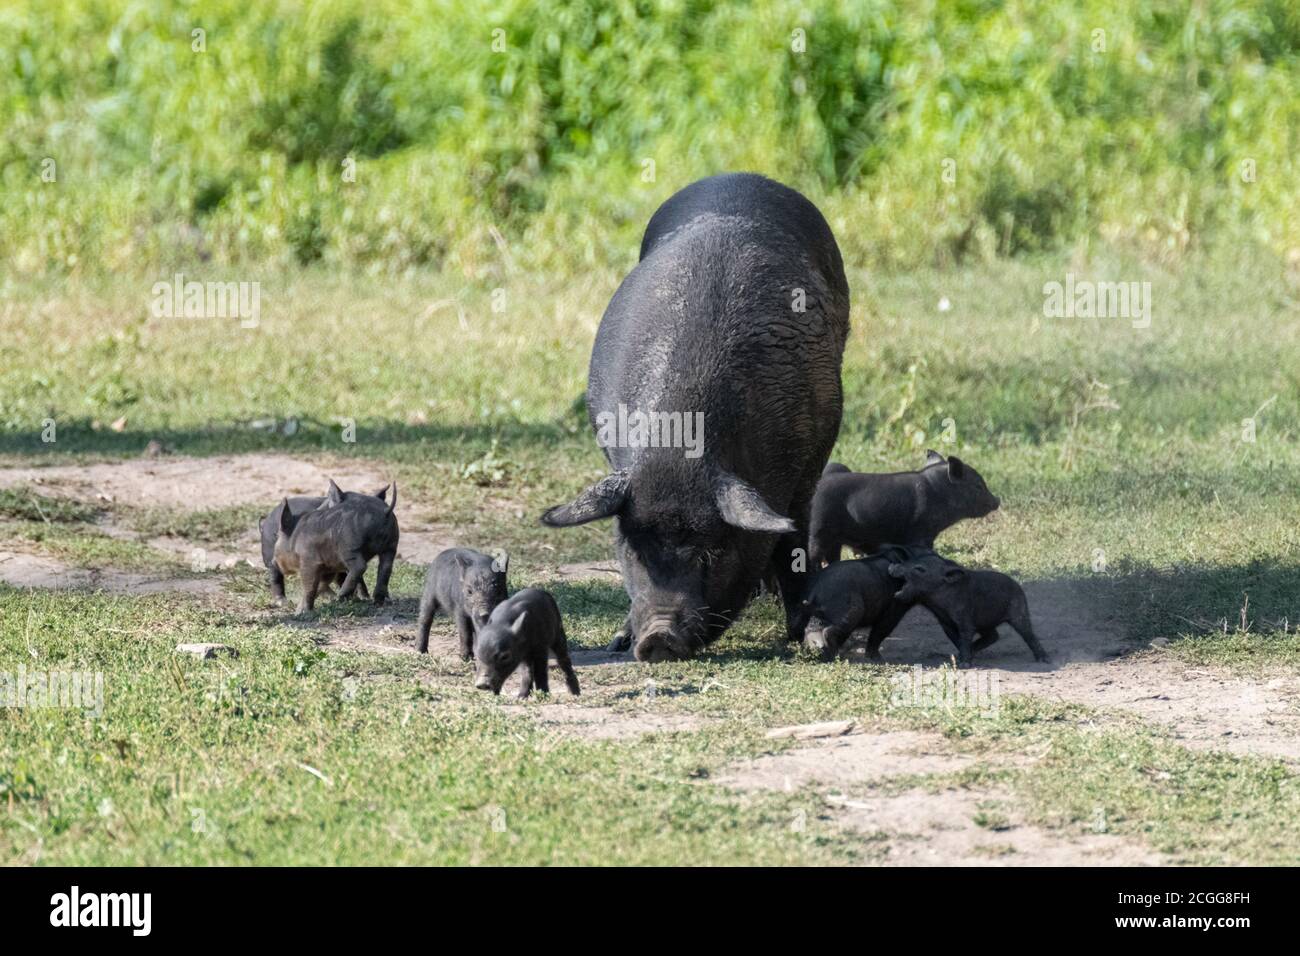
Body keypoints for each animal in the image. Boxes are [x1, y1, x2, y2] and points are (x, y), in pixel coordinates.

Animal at [272, 481, 398, 612]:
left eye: (278, 538)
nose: (273, 563)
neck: (295, 538)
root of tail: (384, 511)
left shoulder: (310, 562)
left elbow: (310, 586)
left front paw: (302, 612)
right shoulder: (327, 567)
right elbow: (321, 585)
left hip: (349, 547)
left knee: (360, 566)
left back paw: (341, 596)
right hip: (391, 545)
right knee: (385, 567)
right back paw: (378, 601)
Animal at [541, 173, 850, 661]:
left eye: (713, 552)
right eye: (634, 550)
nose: (658, 638)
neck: (679, 448)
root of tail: (740, 176)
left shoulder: (806, 466)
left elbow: (793, 544)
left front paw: (816, 641)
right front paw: (618, 641)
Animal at [793, 544, 931, 661]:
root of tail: (815, 592)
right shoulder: (895, 607)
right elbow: (881, 630)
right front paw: (877, 658)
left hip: (805, 608)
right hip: (851, 606)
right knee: (839, 626)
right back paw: (834, 655)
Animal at [808, 450, 999, 568]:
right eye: (978, 486)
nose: (997, 500)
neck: (939, 494)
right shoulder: (920, 534)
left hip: (835, 540)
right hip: (818, 530)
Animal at [888, 553, 1049, 665]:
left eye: (919, 569)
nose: (892, 566)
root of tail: (1018, 587)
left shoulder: (965, 618)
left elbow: (964, 638)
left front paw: (964, 664)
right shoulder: (945, 623)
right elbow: (956, 640)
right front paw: (960, 657)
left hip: (1019, 612)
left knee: (1028, 634)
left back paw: (1044, 659)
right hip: (986, 623)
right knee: (994, 636)